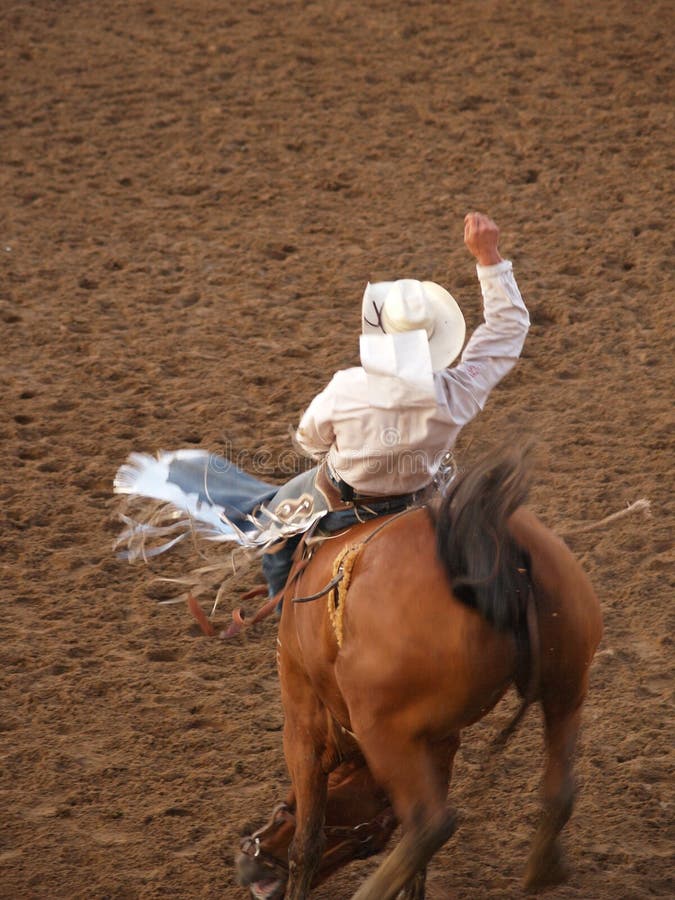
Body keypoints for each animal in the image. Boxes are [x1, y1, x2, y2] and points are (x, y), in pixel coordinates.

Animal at [235, 446, 603, 899]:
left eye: (361, 842)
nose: (252, 867)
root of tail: (499, 554)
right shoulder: (440, 742)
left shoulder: (303, 723)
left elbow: (307, 842)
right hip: (568, 685)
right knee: (558, 788)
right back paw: (543, 869)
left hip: (384, 731)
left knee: (431, 825)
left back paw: (370, 892)